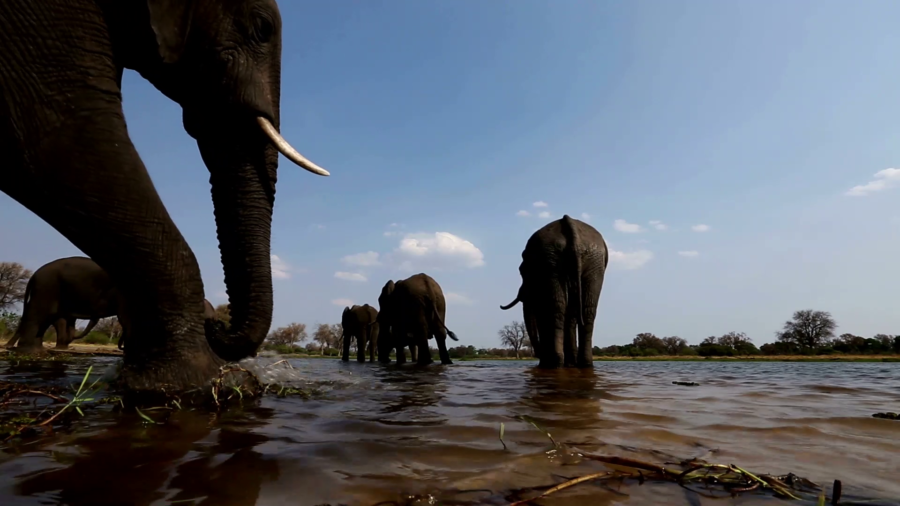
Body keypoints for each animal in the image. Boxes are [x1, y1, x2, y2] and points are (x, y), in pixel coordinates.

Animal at [500, 215, 608, 369]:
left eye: (522, 272)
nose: (537, 354)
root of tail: (569, 222)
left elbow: (541, 311)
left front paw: (548, 362)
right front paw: (569, 364)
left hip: (554, 260)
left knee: (558, 308)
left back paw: (557, 363)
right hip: (589, 260)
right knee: (586, 309)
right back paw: (583, 364)